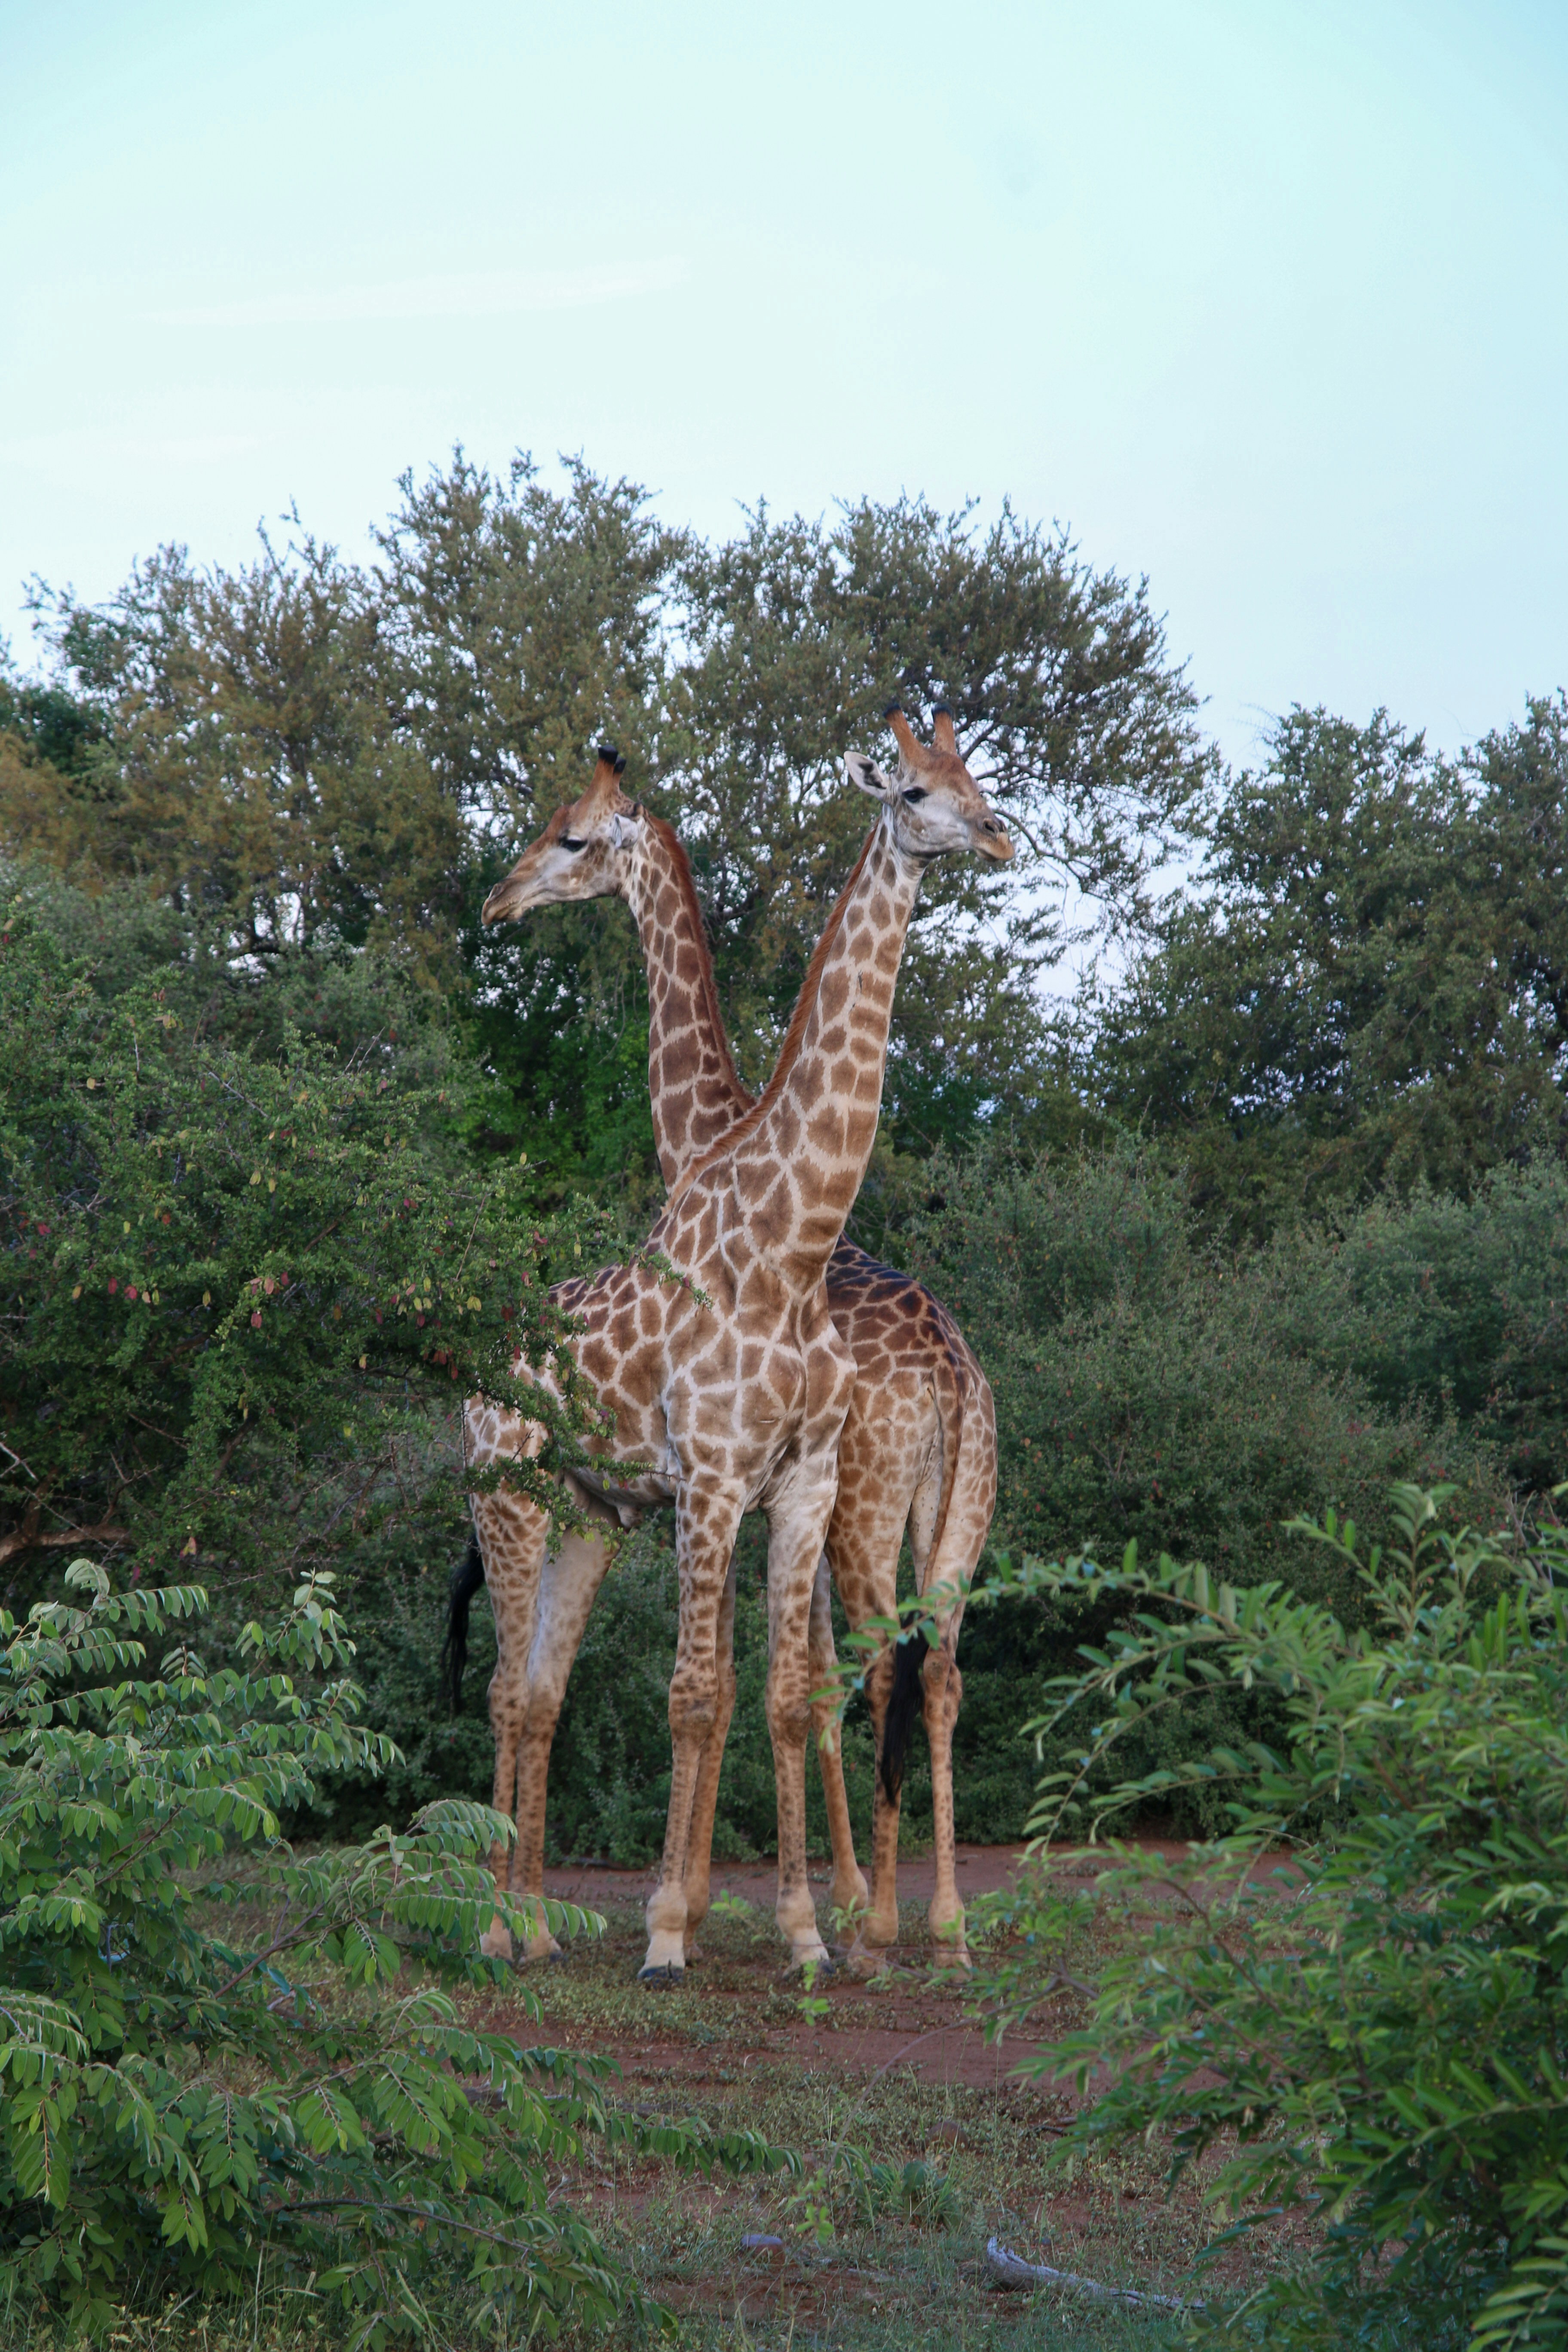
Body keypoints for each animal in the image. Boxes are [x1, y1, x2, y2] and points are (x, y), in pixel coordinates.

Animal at [461, 710, 1012, 1980]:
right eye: (919, 788)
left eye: (570, 837)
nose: (499, 900)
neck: (781, 1241)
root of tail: (957, 1375)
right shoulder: (714, 1483)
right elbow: (717, 1690)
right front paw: (694, 1920)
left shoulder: (779, 1485)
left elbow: (768, 1690)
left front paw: (786, 1923)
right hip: (525, 1497)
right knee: (516, 1684)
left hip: (777, 1511)